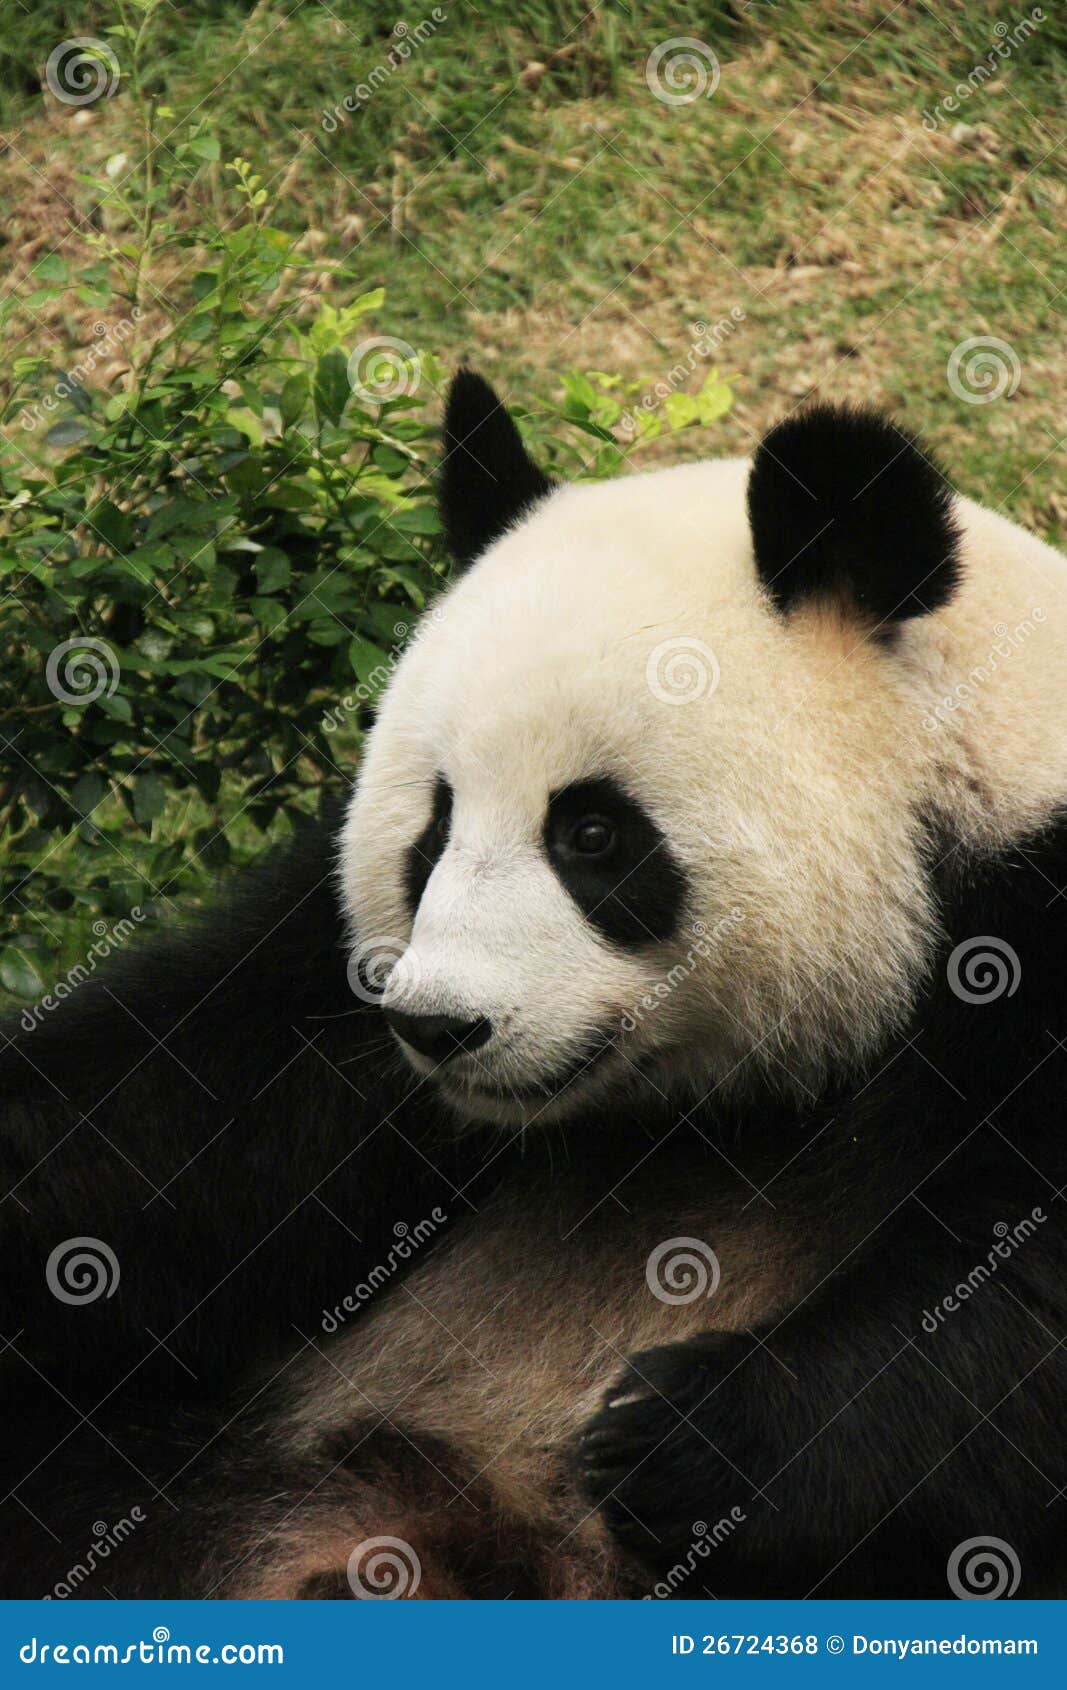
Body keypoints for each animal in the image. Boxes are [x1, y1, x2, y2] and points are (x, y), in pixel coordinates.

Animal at [1, 371, 1065, 1601]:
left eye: (592, 833)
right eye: (433, 828)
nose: (438, 1027)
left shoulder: (1031, 906)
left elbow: (1021, 1293)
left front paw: (682, 1439)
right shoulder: (326, 975)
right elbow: (179, 1117)